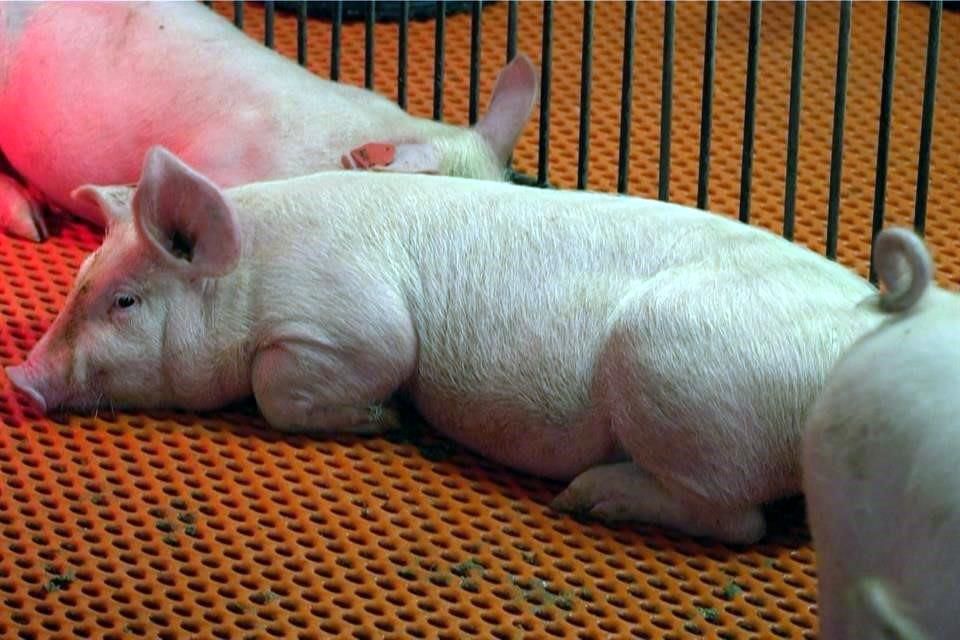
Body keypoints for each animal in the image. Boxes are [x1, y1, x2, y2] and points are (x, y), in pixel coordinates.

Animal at [6, 146, 887, 544]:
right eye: (80, 276)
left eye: (125, 301)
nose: (21, 379)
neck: (251, 269)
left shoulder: (348, 322)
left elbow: (285, 388)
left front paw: (389, 419)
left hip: (678, 372)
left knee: (739, 520)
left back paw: (586, 498)